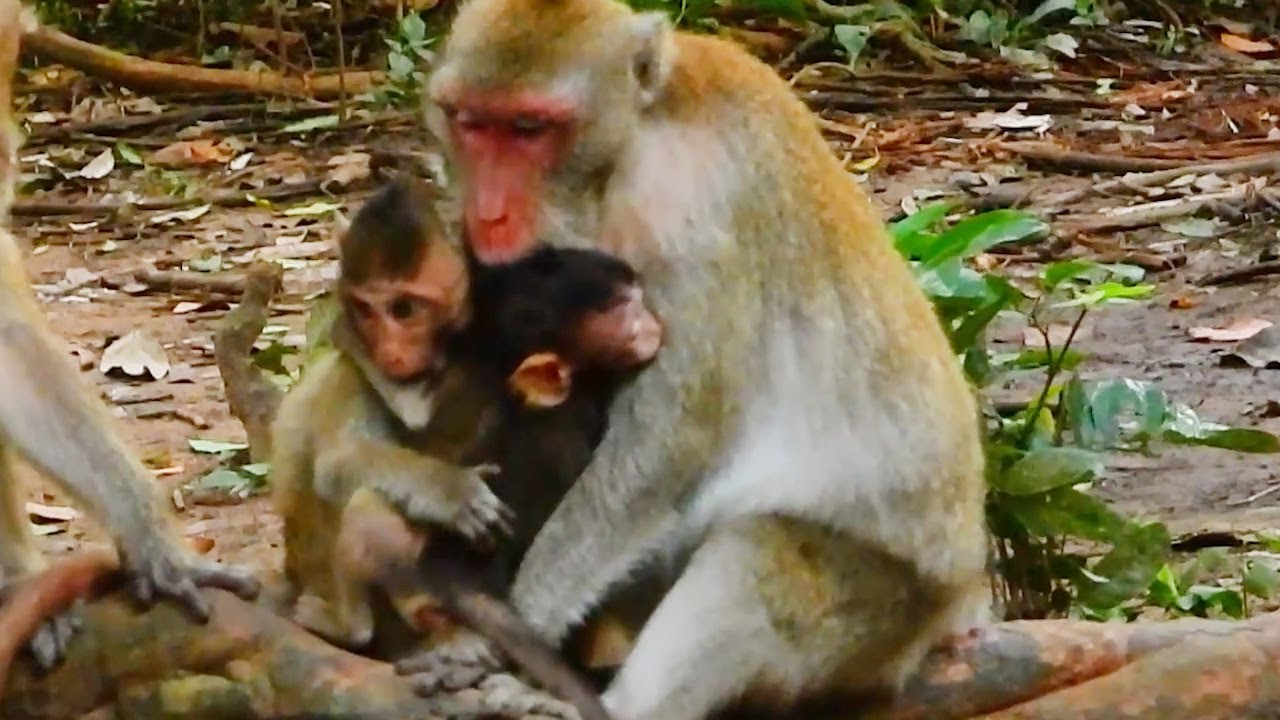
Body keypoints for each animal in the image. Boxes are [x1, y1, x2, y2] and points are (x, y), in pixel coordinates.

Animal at [402, 2, 994, 719]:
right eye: (471, 122)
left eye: (529, 129)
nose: (487, 212)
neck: (633, 147)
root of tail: (960, 598)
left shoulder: (699, 212)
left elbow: (673, 440)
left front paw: (511, 625)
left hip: (885, 612)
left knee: (758, 554)